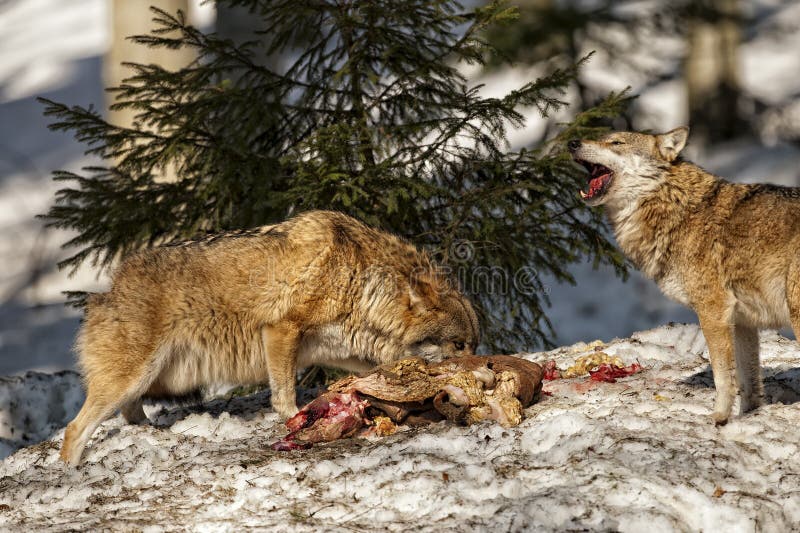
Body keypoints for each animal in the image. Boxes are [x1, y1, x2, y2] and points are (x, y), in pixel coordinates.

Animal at [60, 210, 479, 465]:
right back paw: (71, 472)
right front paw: (299, 421)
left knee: (130, 414)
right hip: (130, 378)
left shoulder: (338, 349)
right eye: (459, 345)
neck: (361, 283)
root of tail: (105, 292)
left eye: (473, 345)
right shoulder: (280, 331)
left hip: (143, 381)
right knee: (74, 429)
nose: (480, 365)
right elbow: (284, 395)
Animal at [569, 127, 800, 425]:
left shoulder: (713, 312)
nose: (572, 143)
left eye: (616, 142)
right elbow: (748, 383)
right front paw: (747, 417)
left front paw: (719, 418)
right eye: (602, 138)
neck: (675, 208)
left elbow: (723, 377)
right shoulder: (743, 323)